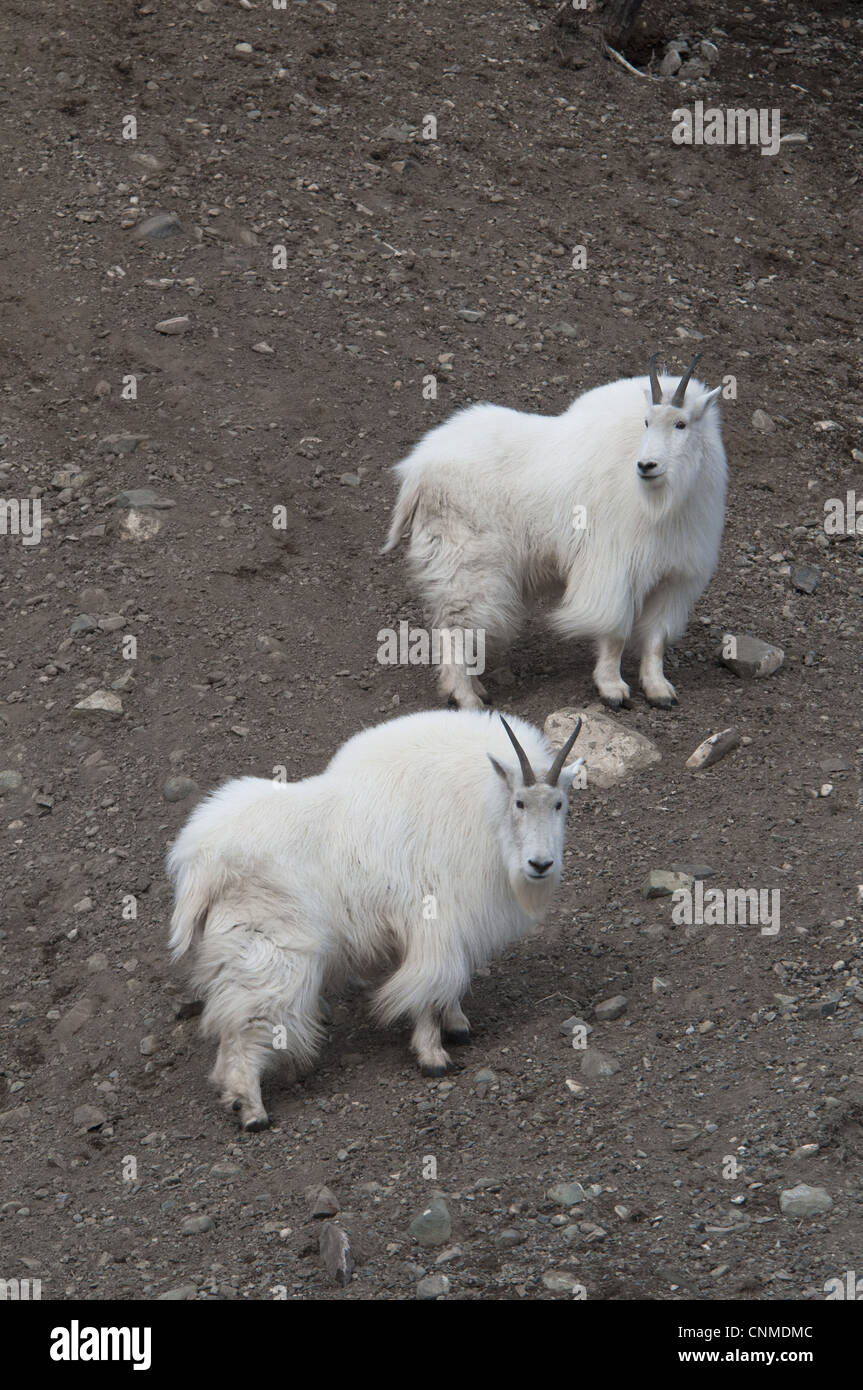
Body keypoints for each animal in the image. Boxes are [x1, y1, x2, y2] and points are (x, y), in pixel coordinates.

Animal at [167, 710, 583, 1130]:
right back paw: (252, 1109)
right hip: (271, 954)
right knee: (248, 1022)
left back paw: (232, 1096)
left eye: (560, 804)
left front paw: (457, 1024)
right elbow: (430, 985)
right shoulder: (434, 923)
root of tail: (200, 862)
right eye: (520, 802)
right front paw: (433, 1056)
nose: (540, 864)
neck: (483, 807)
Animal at [383, 354, 726, 709]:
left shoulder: (674, 577)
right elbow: (615, 631)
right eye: (646, 421)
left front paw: (659, 690)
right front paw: (612, 689)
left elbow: (656, 638)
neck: (666, 500)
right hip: (467, 562)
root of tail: (415, 472)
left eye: (681, 424)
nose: (647, 466)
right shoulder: (613, 567)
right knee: (456, 626)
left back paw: (476, 689)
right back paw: (466, 697)